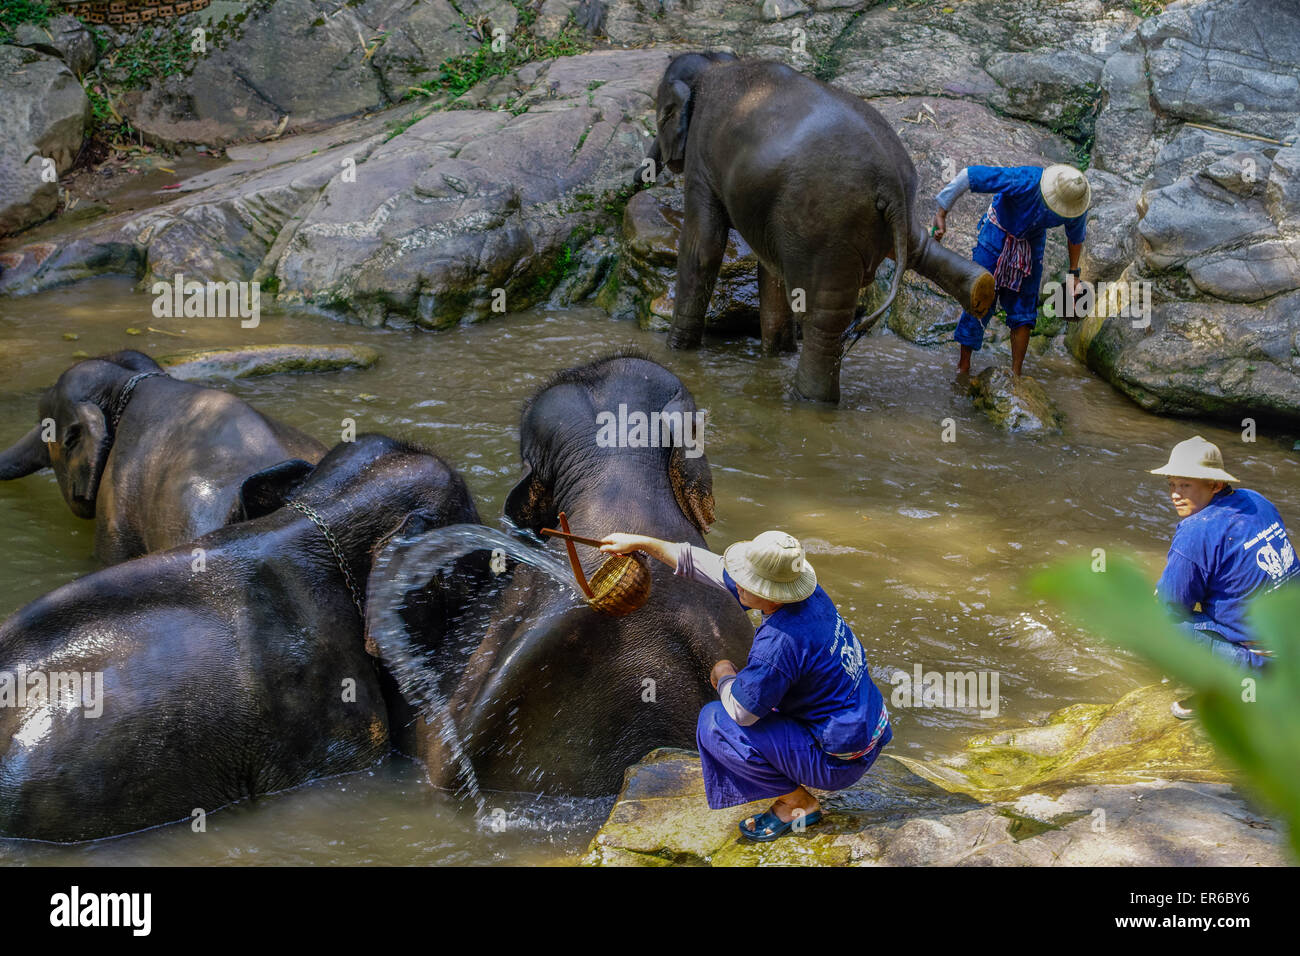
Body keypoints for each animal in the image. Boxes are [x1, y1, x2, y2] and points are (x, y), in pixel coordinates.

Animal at [647, 53, 996, 403]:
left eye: (661, 117)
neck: (714, 62)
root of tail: (889, 182)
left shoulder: (701, 159)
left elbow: (703, 247)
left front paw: (674, 351)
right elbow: (770, 270)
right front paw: (777, 354)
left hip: (828, 228)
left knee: (823, 316)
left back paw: (808, 400)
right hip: (863, 215)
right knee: (916, 247)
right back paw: (980, 288)